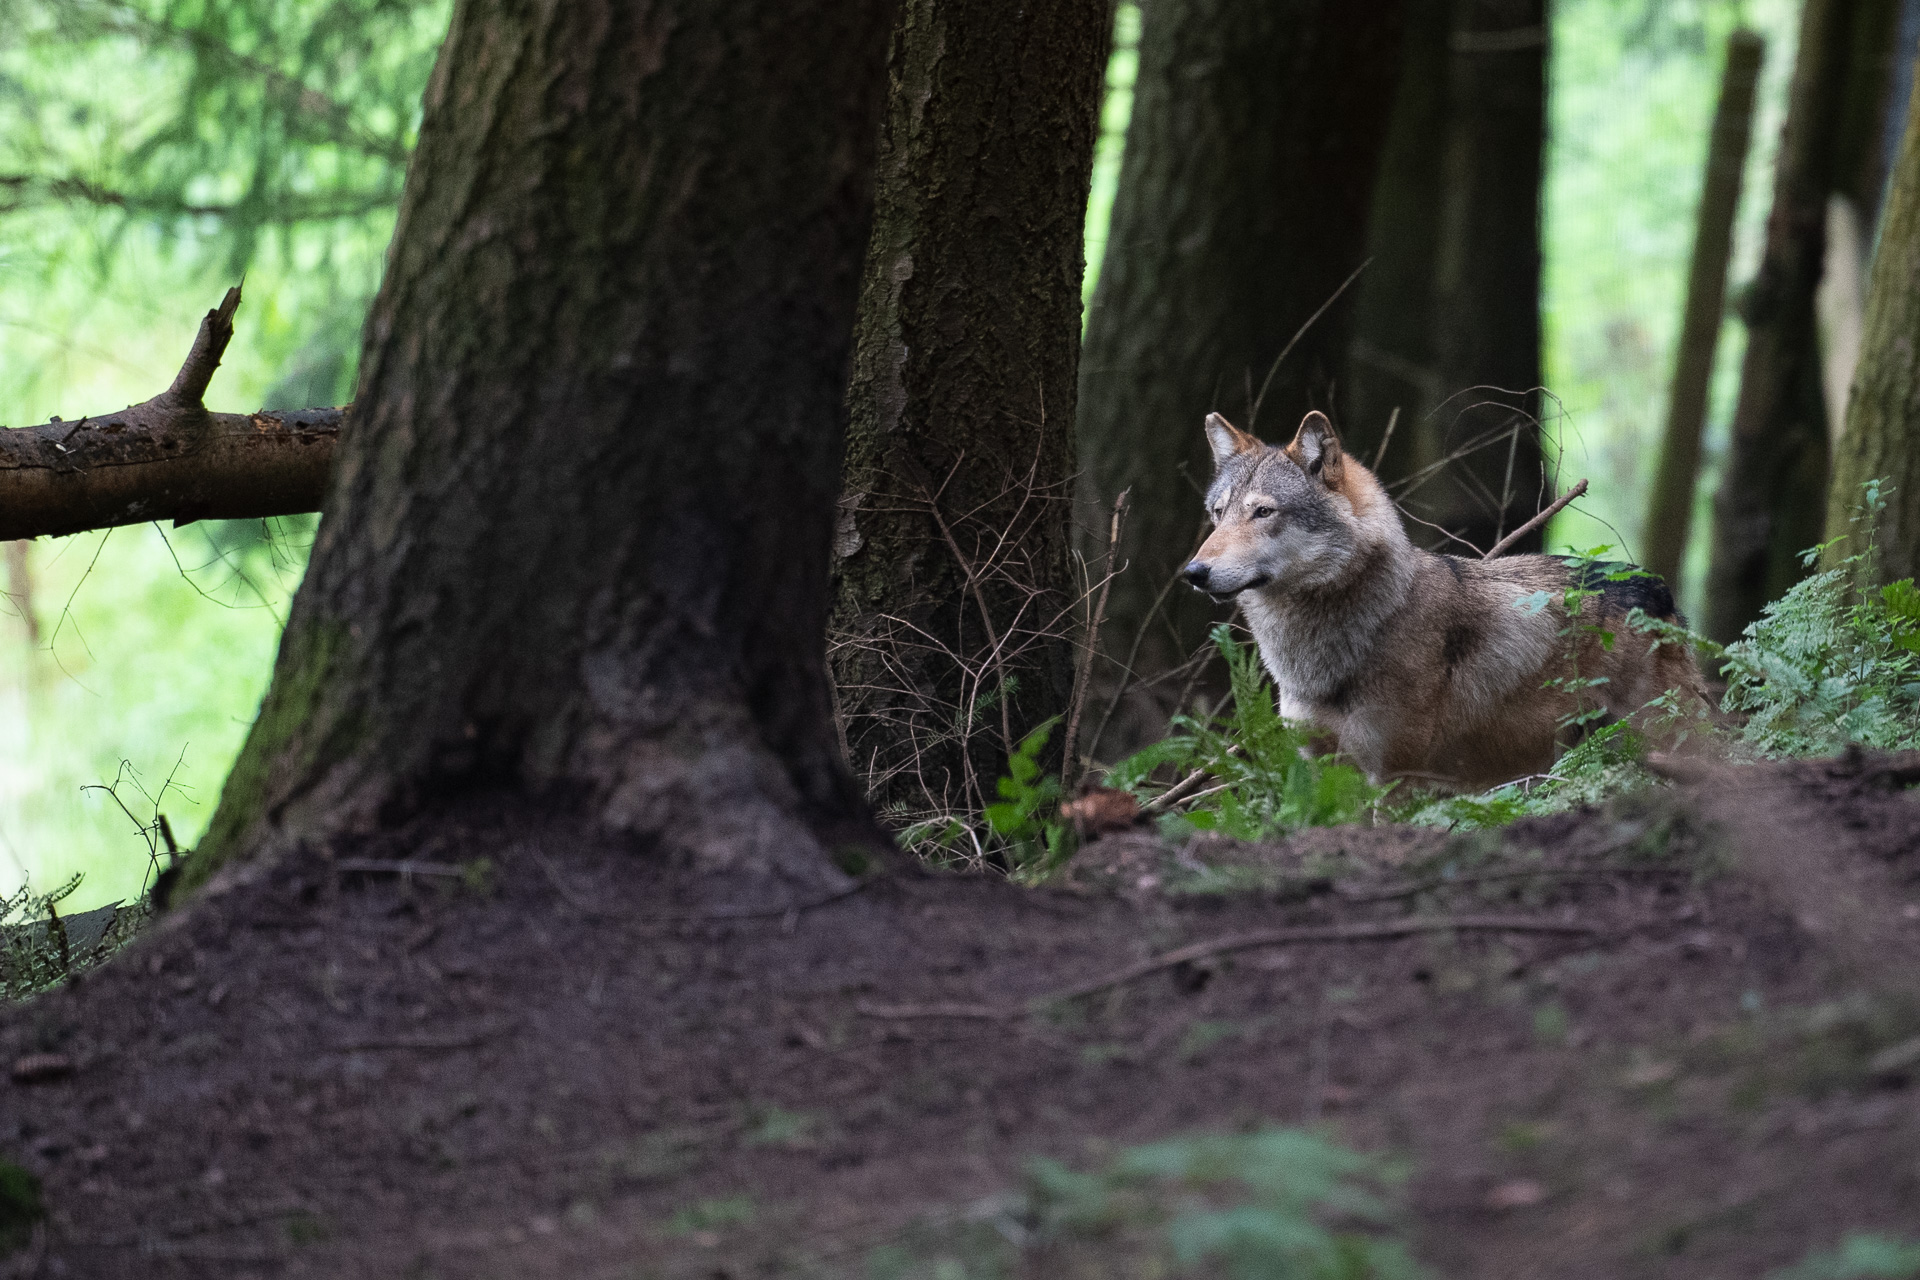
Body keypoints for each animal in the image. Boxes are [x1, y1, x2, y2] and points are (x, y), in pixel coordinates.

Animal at [1182, 410, 1707, 789]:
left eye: (1263, 512)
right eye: (1217, 513)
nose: (1193, 573)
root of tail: (1655, 586)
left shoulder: (1396, 778)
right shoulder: (1321, 768)